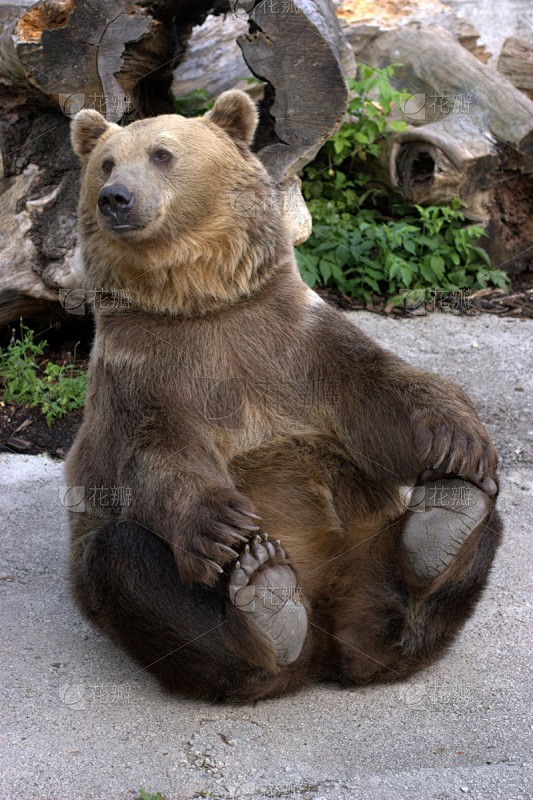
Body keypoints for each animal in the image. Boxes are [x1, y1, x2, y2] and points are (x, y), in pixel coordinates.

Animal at [65, 90, 502, 702]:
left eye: (161, 154)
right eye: (105, 163)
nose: (115, 198)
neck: (198, 301)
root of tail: (322, 643)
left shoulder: (292, 341)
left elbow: (377, 390)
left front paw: (460, 437)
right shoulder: (144, 371)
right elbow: (154, 455)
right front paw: (224, 524)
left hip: (367, 549)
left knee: (417, 595)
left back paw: (445, 522)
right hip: (116, 569)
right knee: (126, 565)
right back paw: (266, 604)